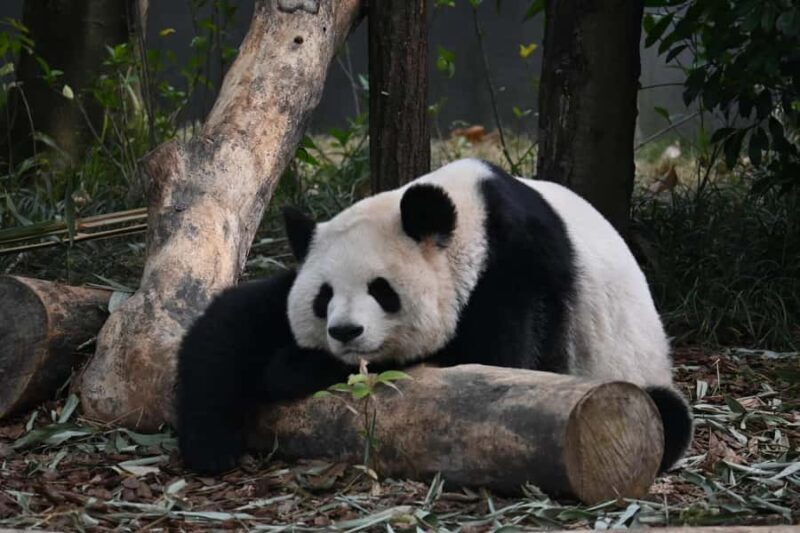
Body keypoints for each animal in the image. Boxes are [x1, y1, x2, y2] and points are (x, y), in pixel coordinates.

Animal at [176, 158, 693, 476]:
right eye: (323, 297)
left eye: (381, 290)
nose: (344, 332)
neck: (470, 218)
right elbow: (230, 324)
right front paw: (210, 445)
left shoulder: (518, 271)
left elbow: (490, 363)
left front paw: (292, 367)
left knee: (668, 416)